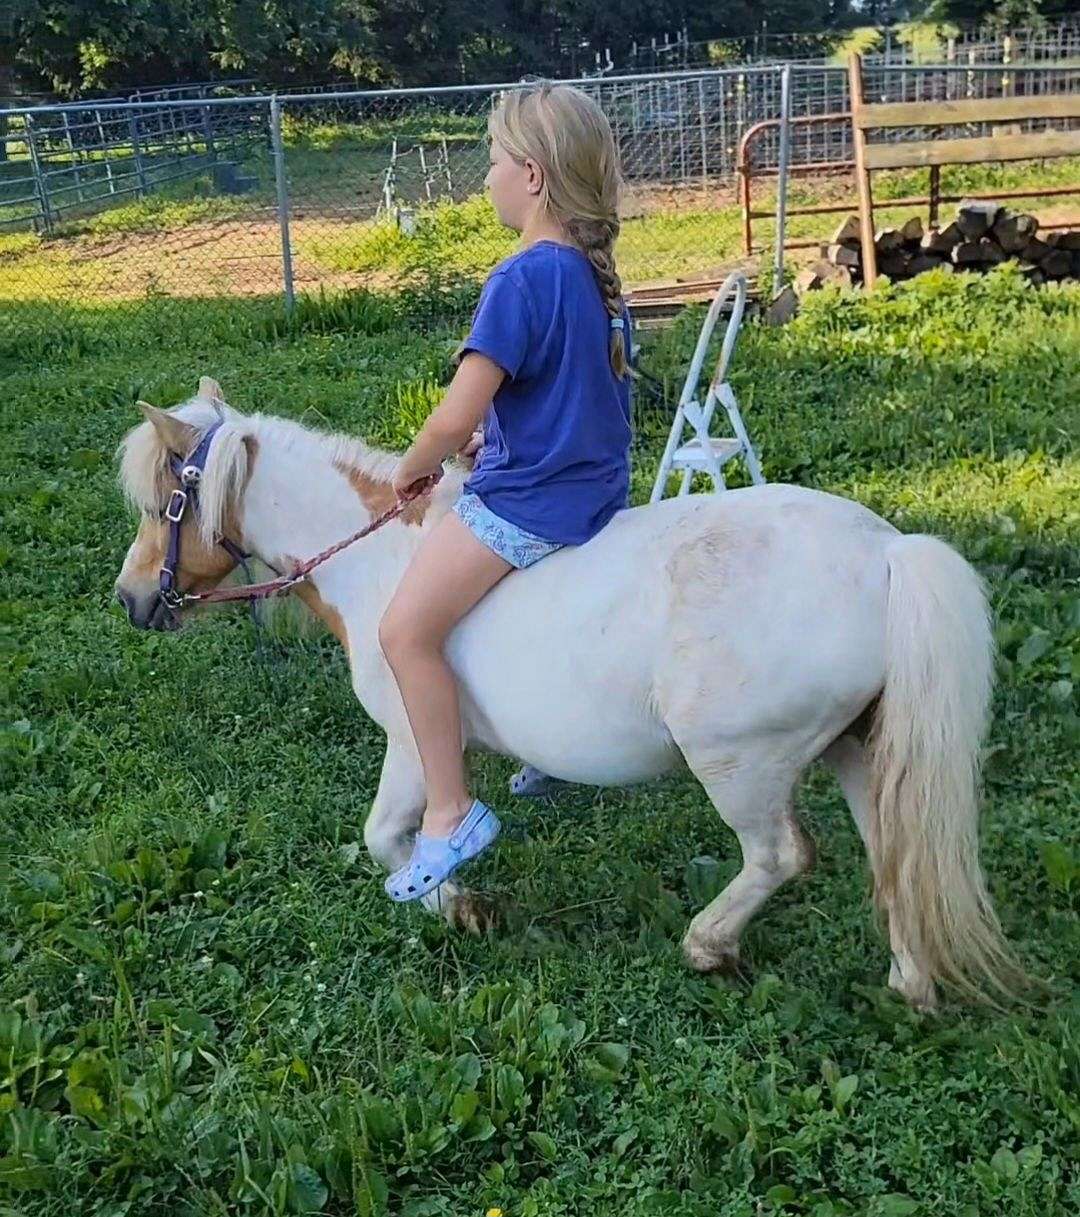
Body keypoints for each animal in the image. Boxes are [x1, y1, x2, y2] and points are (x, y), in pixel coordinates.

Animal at [113, 379, 1024, 1010]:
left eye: (167, 502)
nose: (131, 598)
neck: (377, 561)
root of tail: (886, 552)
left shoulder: (414, 742)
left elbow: (385, 837)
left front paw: (452, 900)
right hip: (856, 747)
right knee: (893, 850)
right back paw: (909, 984)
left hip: (742, 762)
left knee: (781, 854)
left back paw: (708, 943)